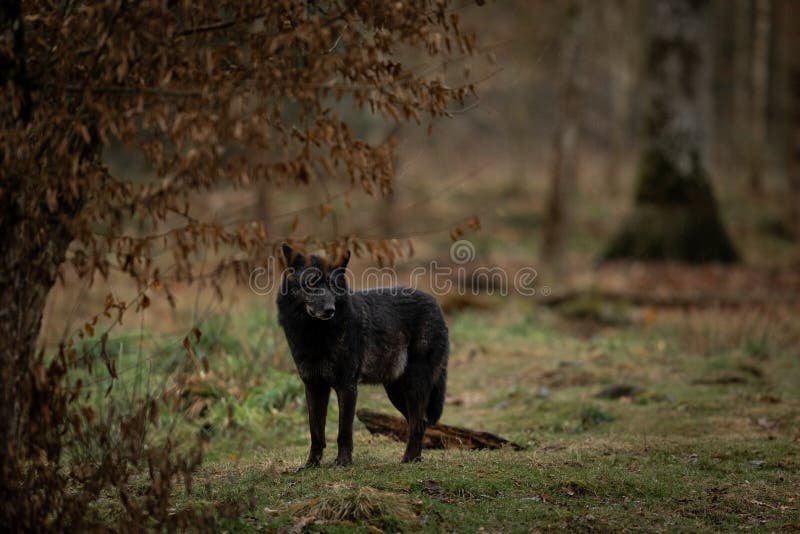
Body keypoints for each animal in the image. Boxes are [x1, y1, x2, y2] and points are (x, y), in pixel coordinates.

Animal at [276, 244, 449, 466]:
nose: (329, 310)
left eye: (334, 286)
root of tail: (436, 304)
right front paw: (311, 464)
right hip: (395, 392)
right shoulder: (314, 386)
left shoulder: (347, 386)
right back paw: (414, 459)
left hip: (413, 386)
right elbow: (315, 431)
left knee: (418, 424)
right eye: (311, 283)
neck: (316, 335)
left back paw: (408, 460)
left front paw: (342, 462)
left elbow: (344, 432)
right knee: (419, 422)